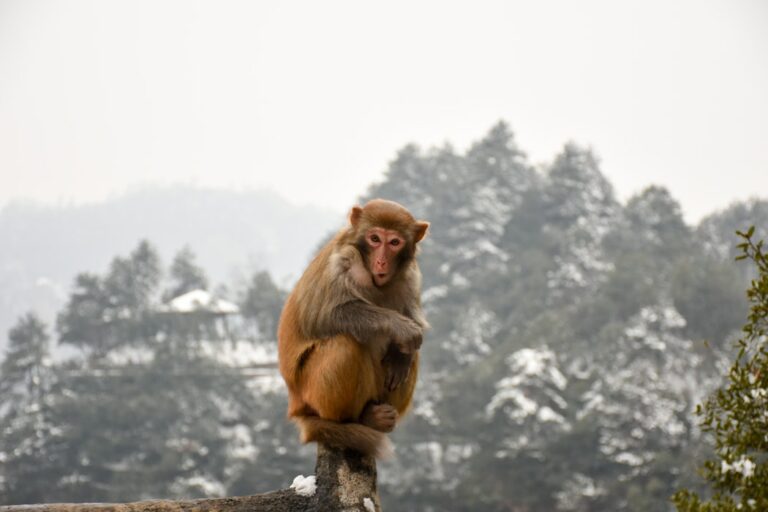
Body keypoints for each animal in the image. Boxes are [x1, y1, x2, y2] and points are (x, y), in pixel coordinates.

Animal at [277, 199, 429, 458]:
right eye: (374, 239)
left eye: (394, 242)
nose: (381, 261)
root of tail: (296, 407)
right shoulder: (343, 262)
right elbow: (324, 316)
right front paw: (400, 326)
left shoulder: (410, 275)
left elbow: (414, 321)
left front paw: (400, 356)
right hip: (313, 393)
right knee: (345, 343)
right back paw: (356, 419)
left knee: (413, 352)